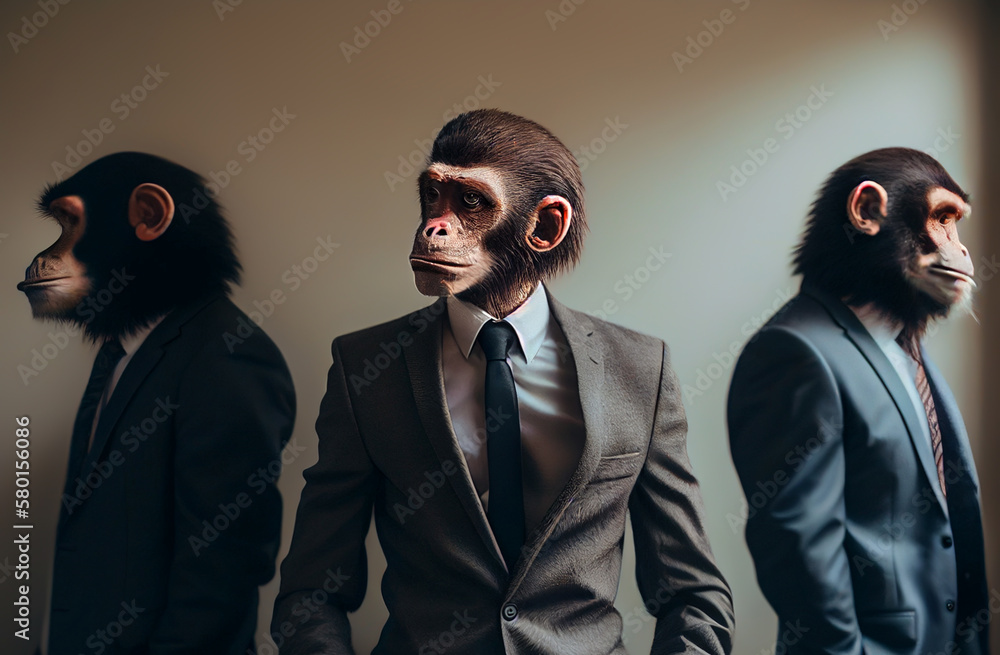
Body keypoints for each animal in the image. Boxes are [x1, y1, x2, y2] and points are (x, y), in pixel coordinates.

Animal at [273, 109, 734, 655]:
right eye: (434, 193)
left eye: (471, 201)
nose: (433, 226)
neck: (497, 324)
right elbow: (313, 586)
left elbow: (694, 587)